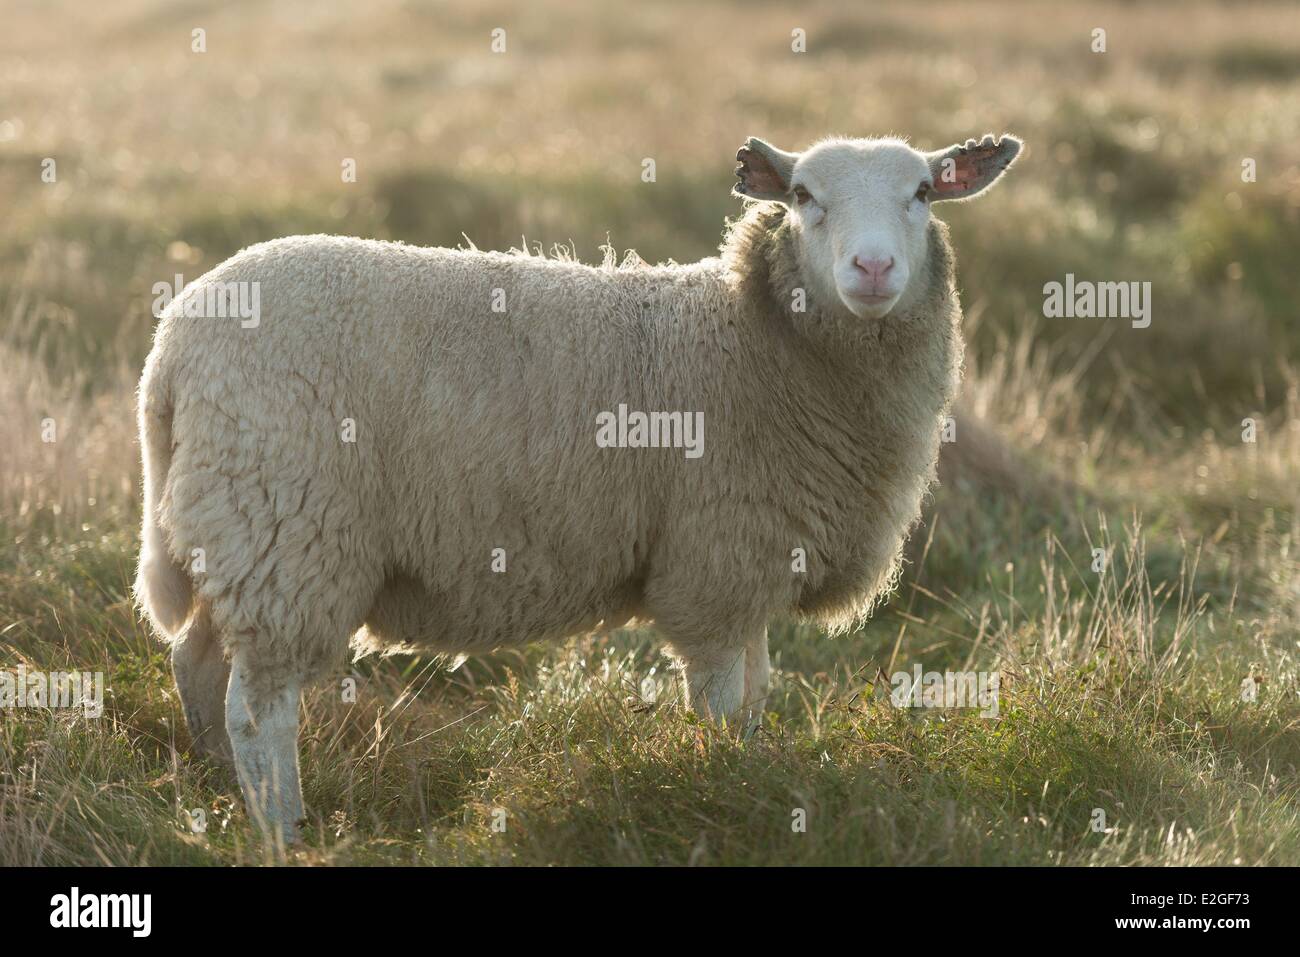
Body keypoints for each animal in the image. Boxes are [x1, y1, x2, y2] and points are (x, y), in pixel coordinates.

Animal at [135, 132, 1022, 843]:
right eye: (804, 196)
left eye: (922, 191)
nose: (873, 268)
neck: (754, 340)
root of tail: (171, 348)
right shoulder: (715, 563)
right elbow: (721, 701)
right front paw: (722, 786)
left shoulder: (755, 567)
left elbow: (758, 695)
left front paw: (754, 770)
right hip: (287, 532)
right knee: (259, 705)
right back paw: (282, 825)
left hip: (237, 532)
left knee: (198, 665)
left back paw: (218, 784)